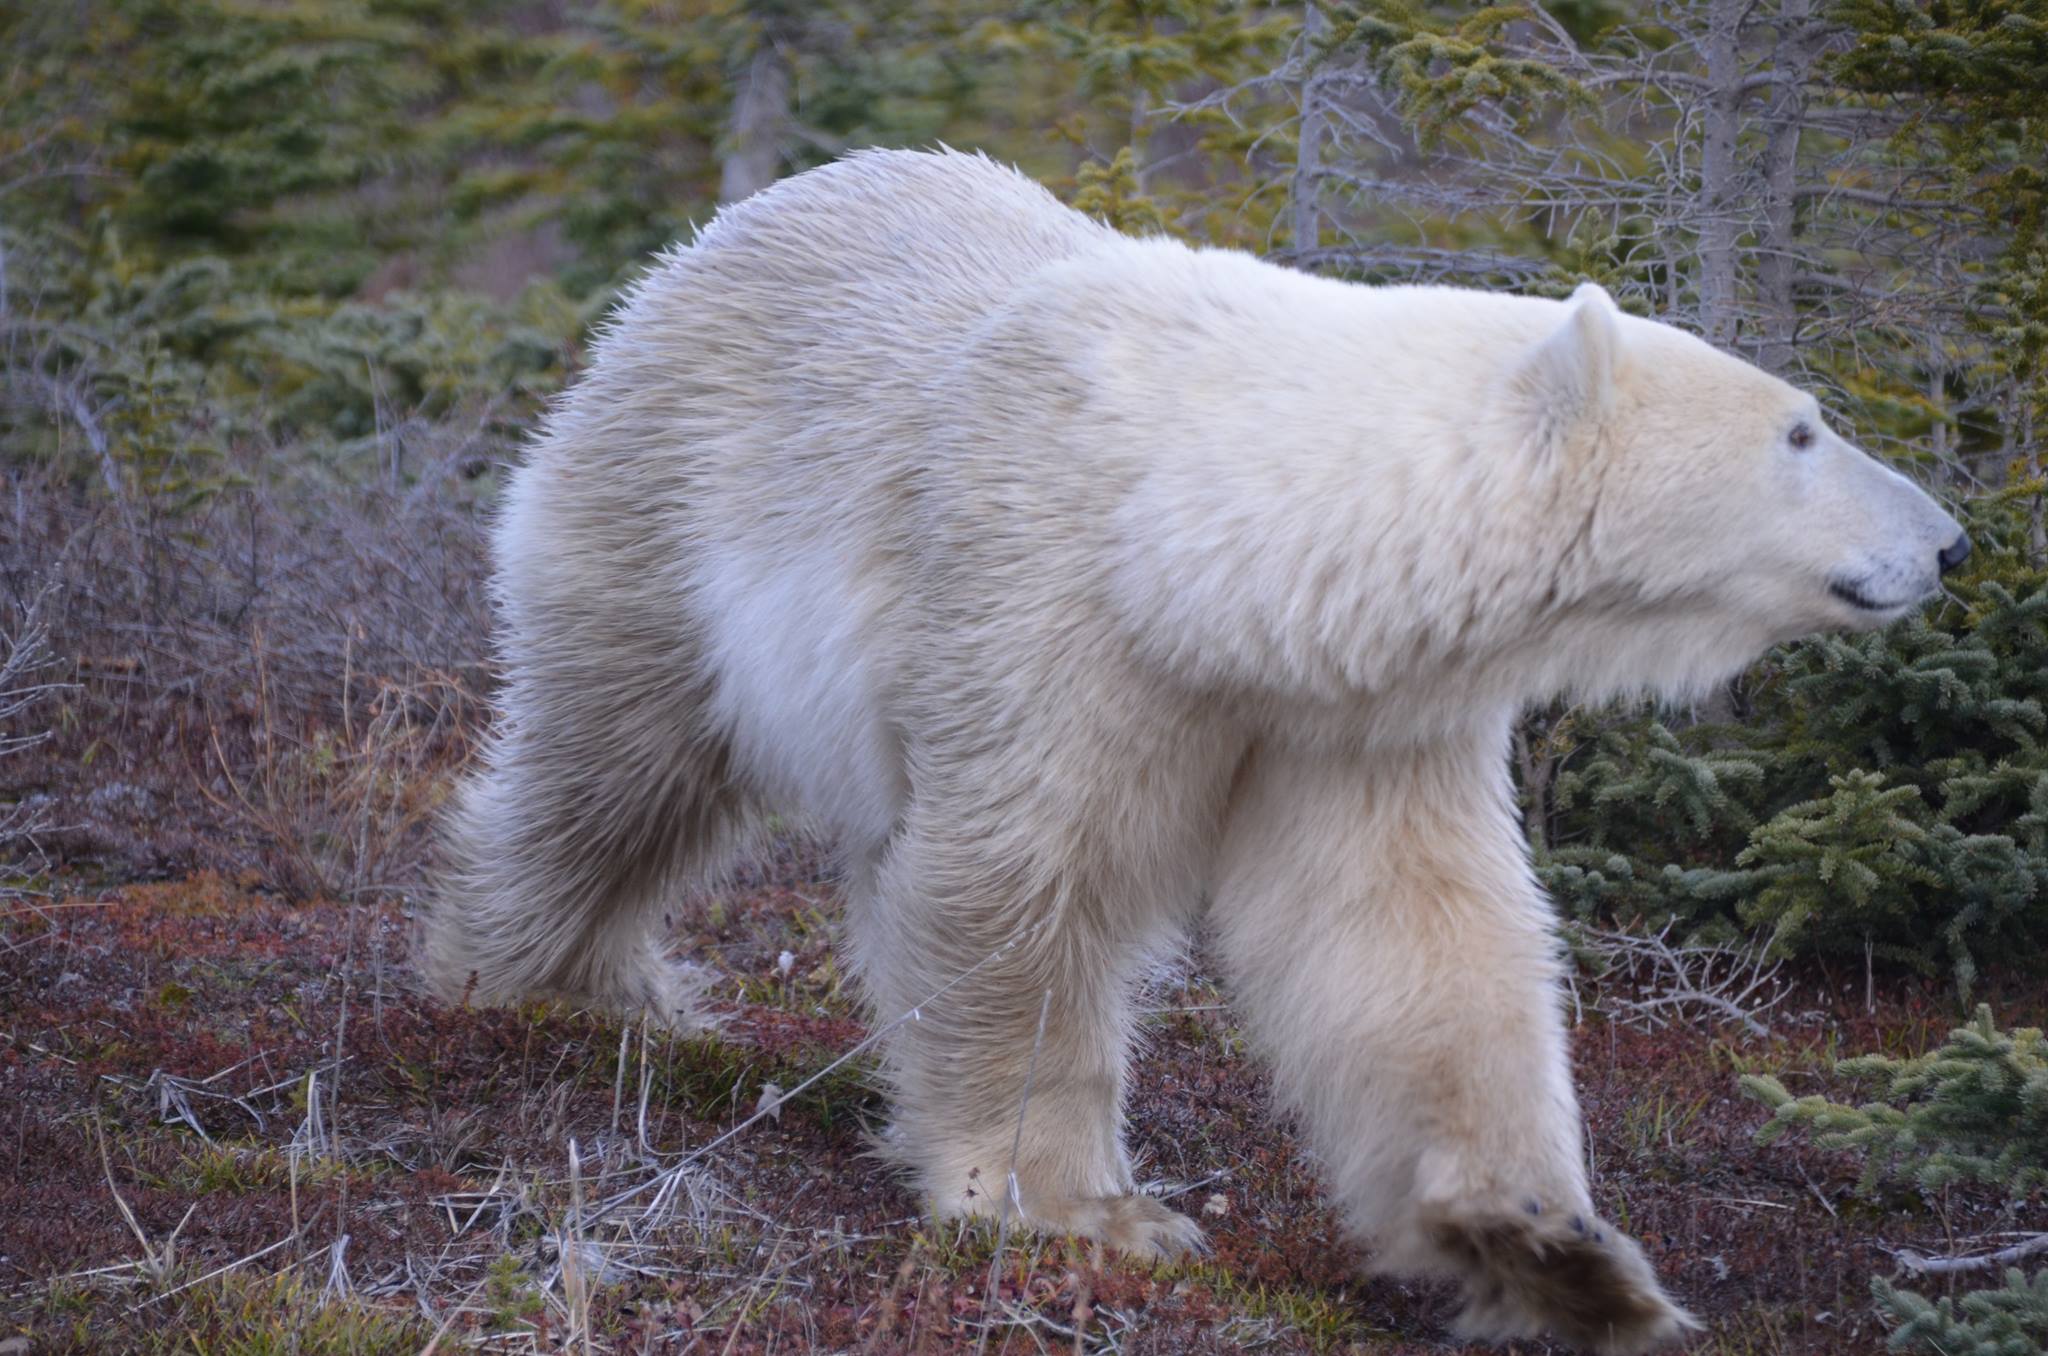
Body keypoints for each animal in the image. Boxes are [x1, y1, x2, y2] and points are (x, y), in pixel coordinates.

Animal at [423, 148, 1968, 1352]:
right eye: (1803, 429)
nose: (1950, 540)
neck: (1206, 544)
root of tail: (706, 241)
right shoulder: (1047, 600)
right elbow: (1018, 886)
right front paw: (1074, 1211)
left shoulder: (1348, 711)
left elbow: (1407, 937)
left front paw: (1552, 1251)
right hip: (664, 515)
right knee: (613, 765)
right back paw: (552, 982)